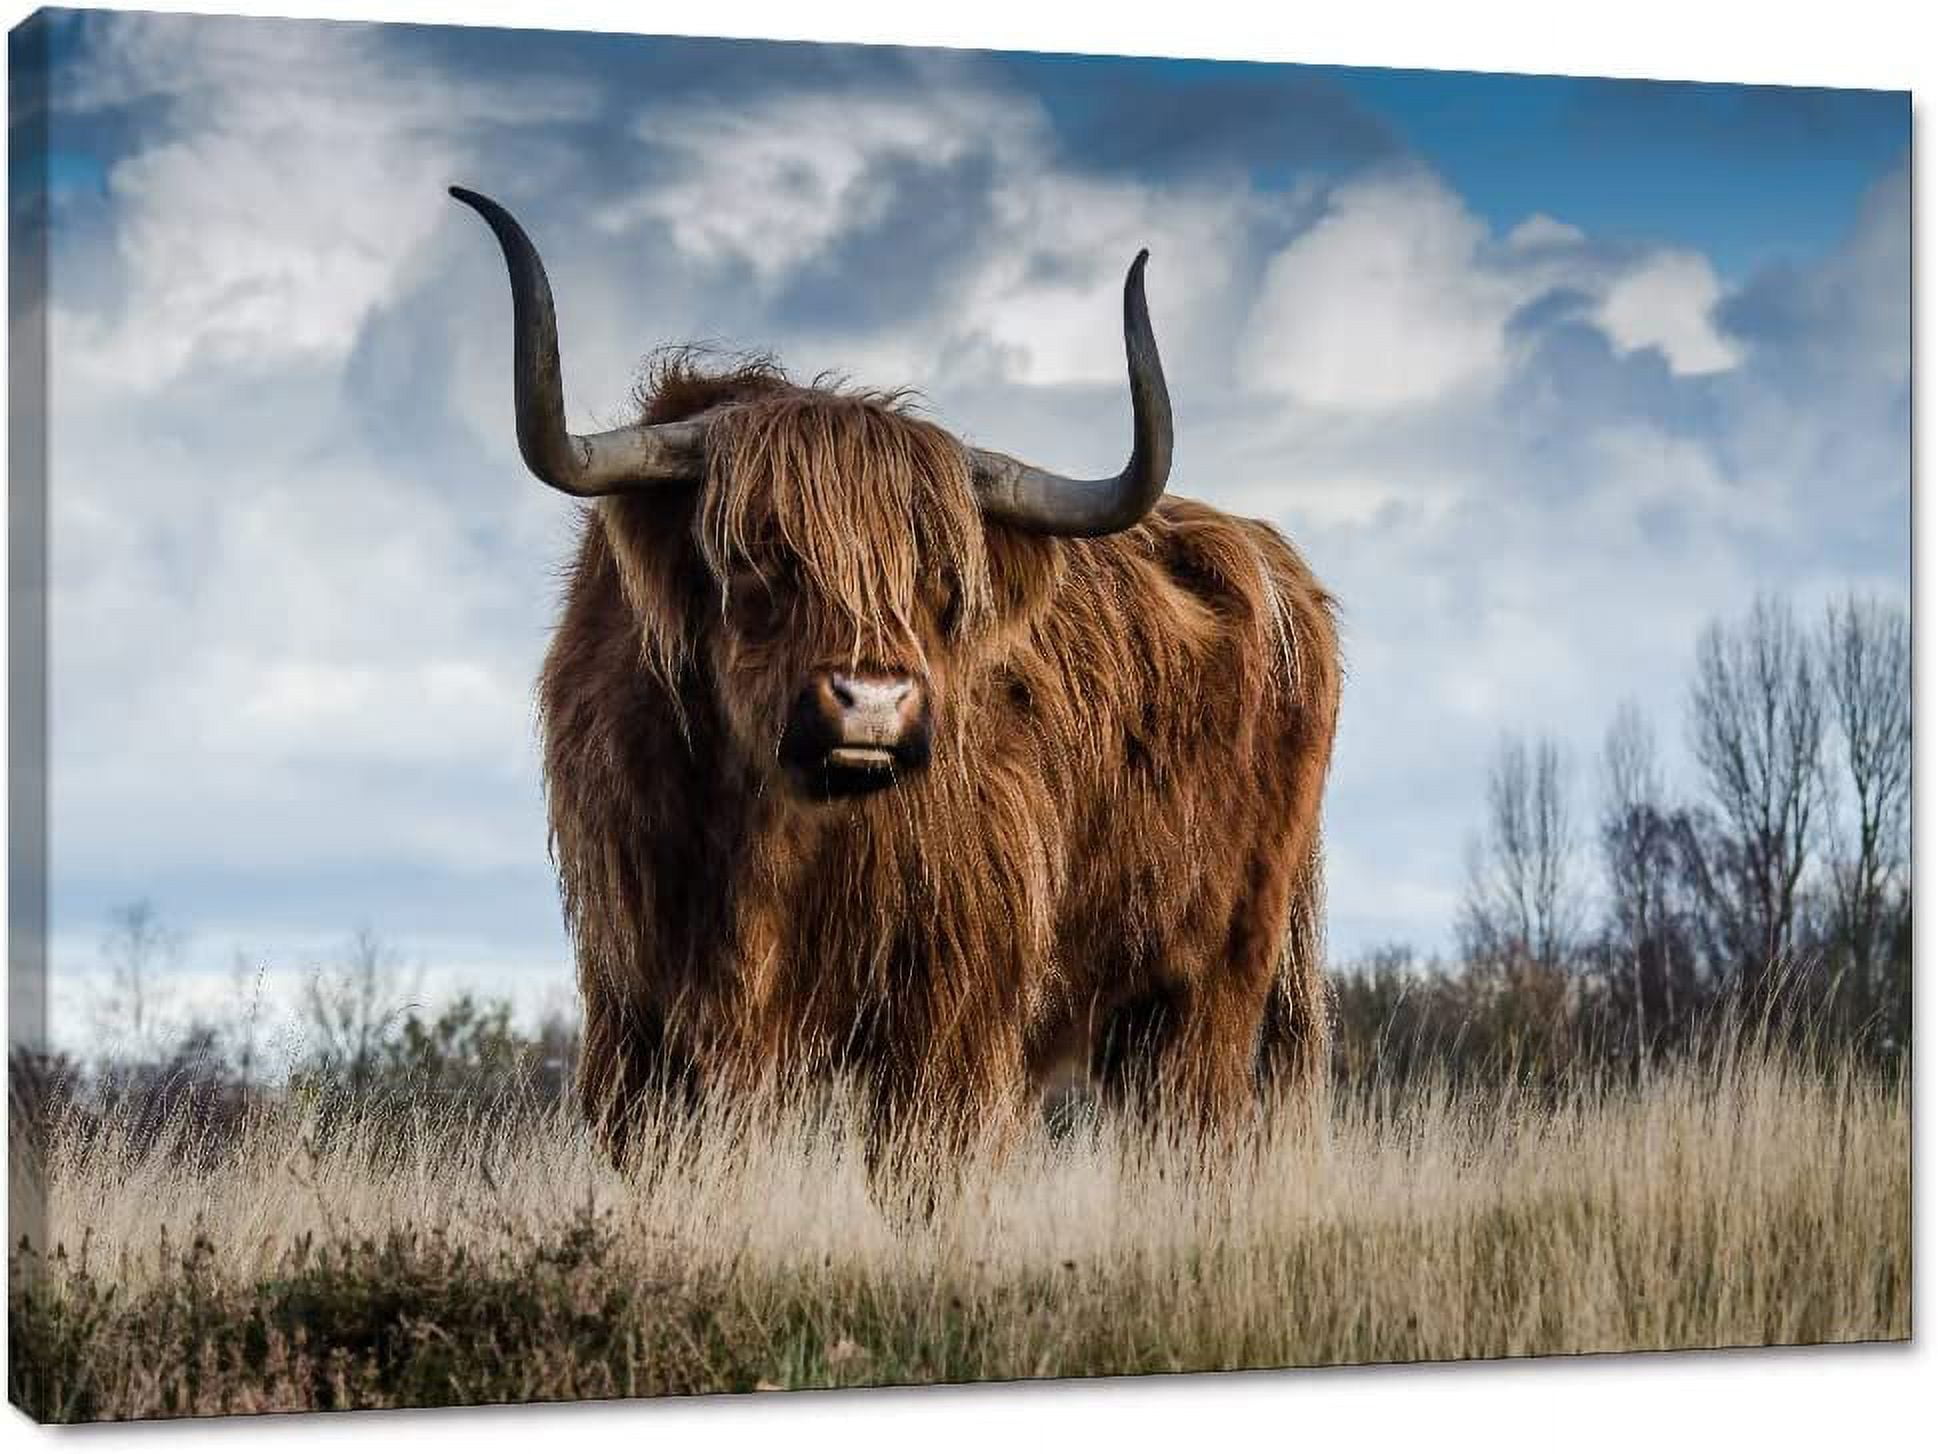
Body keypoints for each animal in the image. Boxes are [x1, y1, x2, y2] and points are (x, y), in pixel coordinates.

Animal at [450, 186, 1341, 1171]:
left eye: (942, 579)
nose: (871, 703)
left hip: (1212, 985)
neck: (766, 840)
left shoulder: (951, 1009)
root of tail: (1275, 563)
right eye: (758, 557)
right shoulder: (637, 1009)